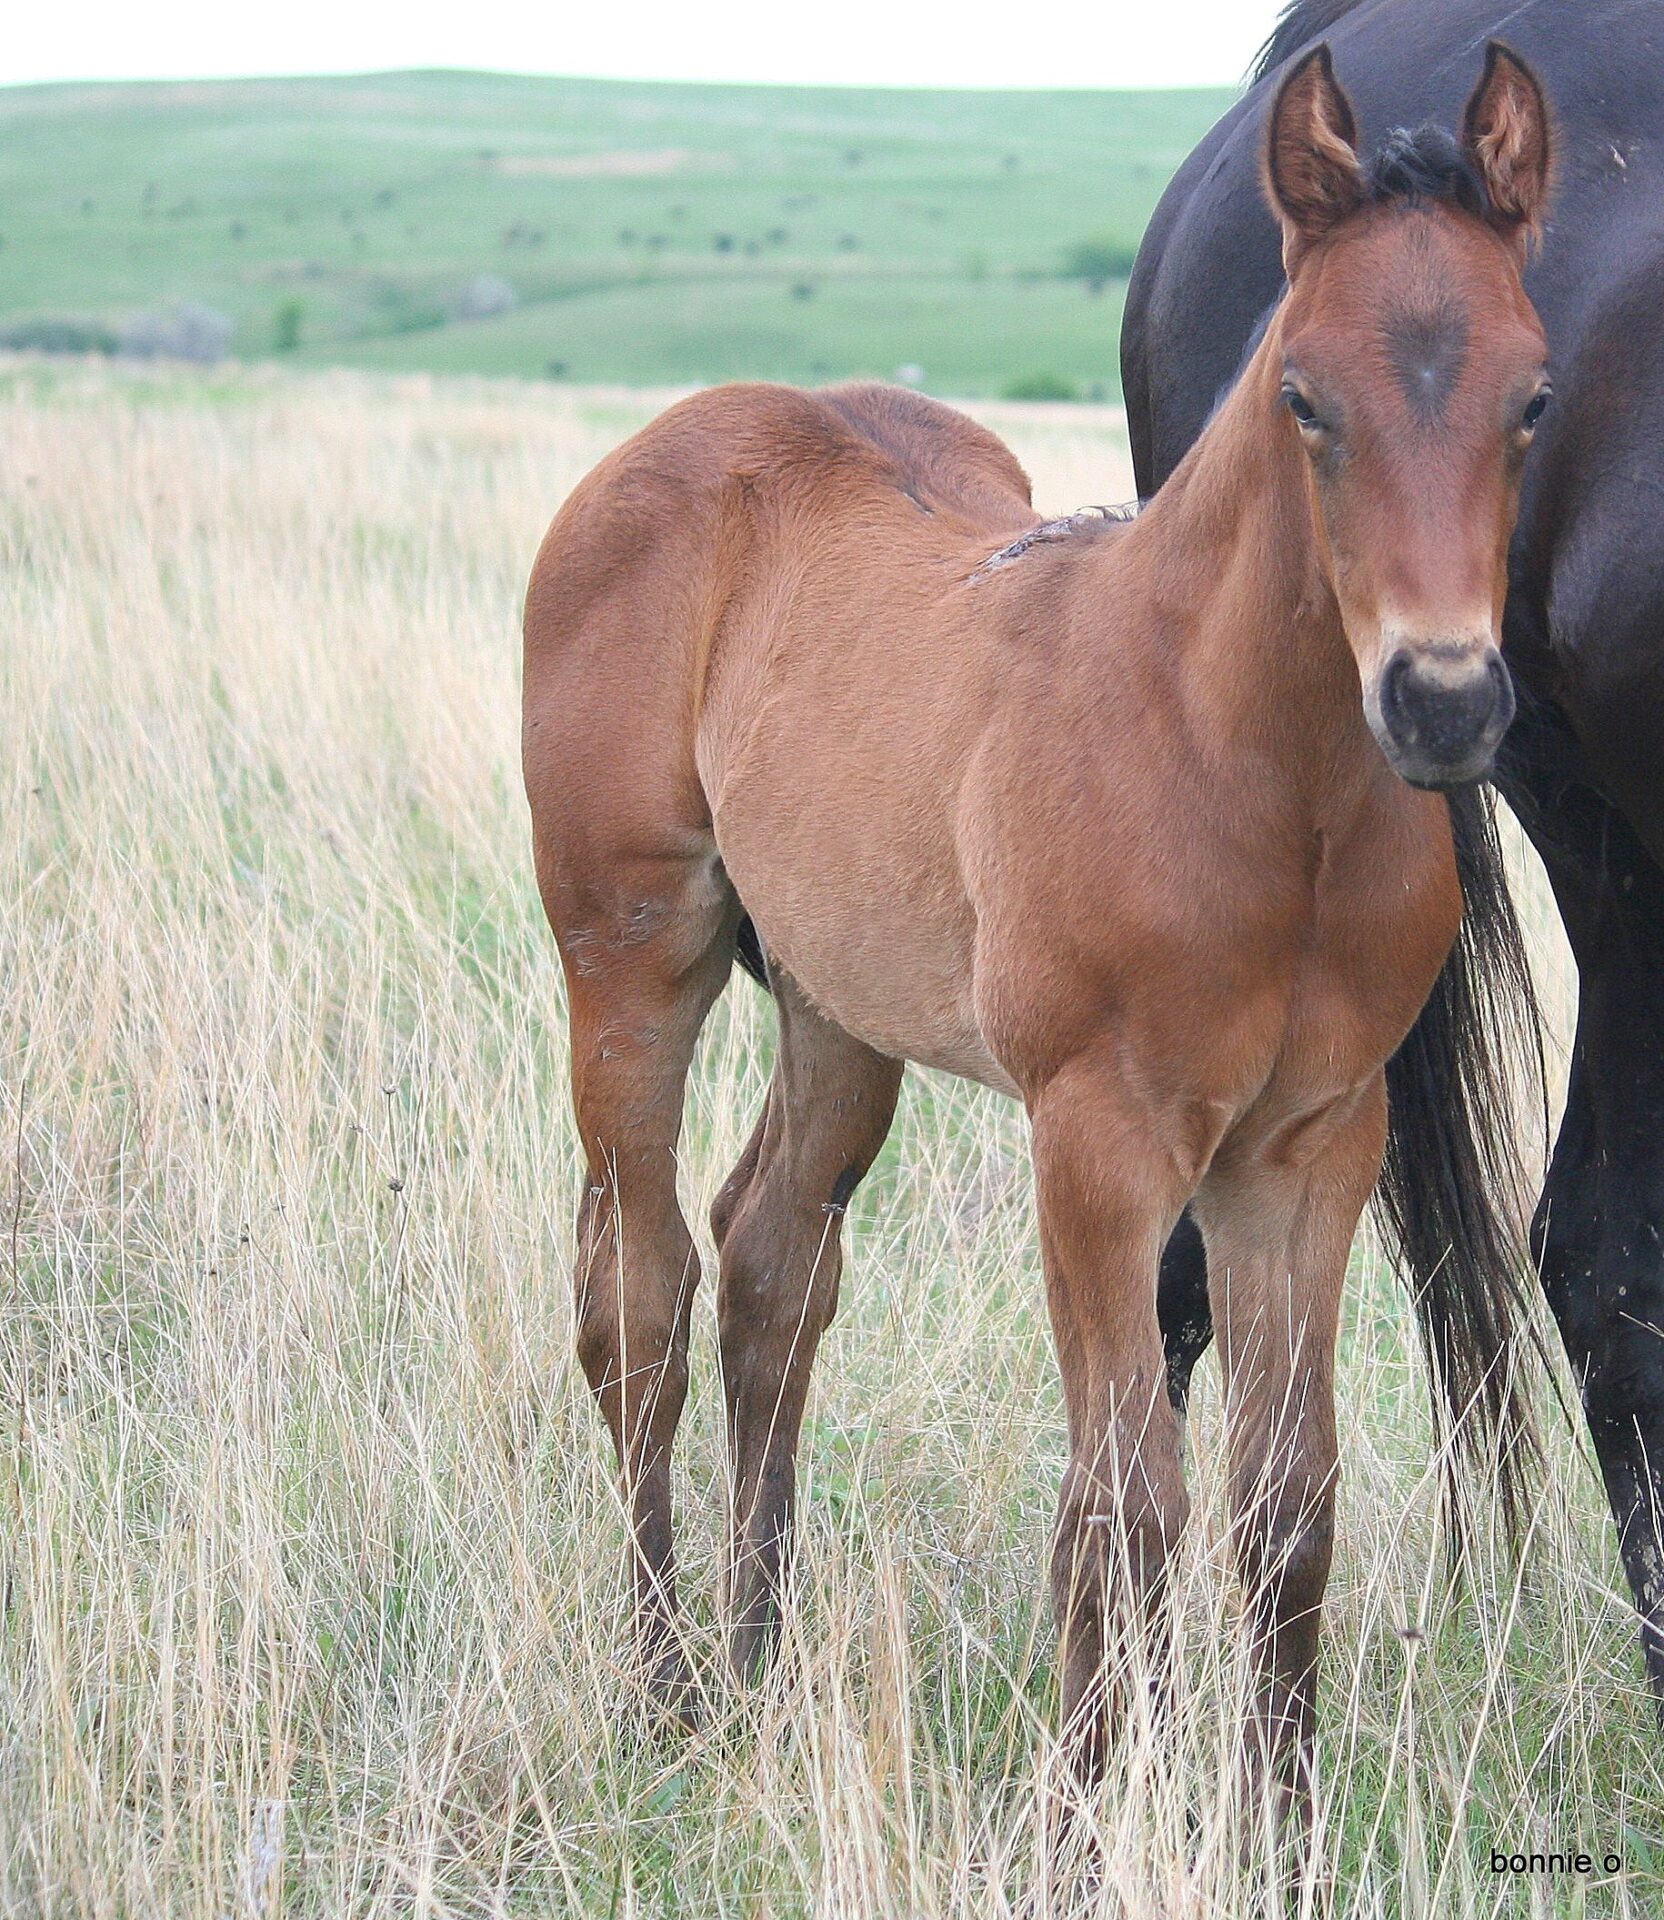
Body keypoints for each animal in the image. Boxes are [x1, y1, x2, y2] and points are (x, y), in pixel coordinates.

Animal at [521, 46, 1553, 1818]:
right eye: (1306, 400)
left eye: (1534, 399)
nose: (1441, 701)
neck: (1249, 767)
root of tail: (682, 437)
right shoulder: (1100, 1135)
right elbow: (1123, 1500)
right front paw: (1079, 1820)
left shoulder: (1312, 1146)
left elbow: (1287, 1502)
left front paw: (1279, 1828)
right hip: (629, 954)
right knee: (639, 1293)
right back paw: (661, 1689)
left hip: (836, 999)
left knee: (771, 1267)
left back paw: (755, 1660)